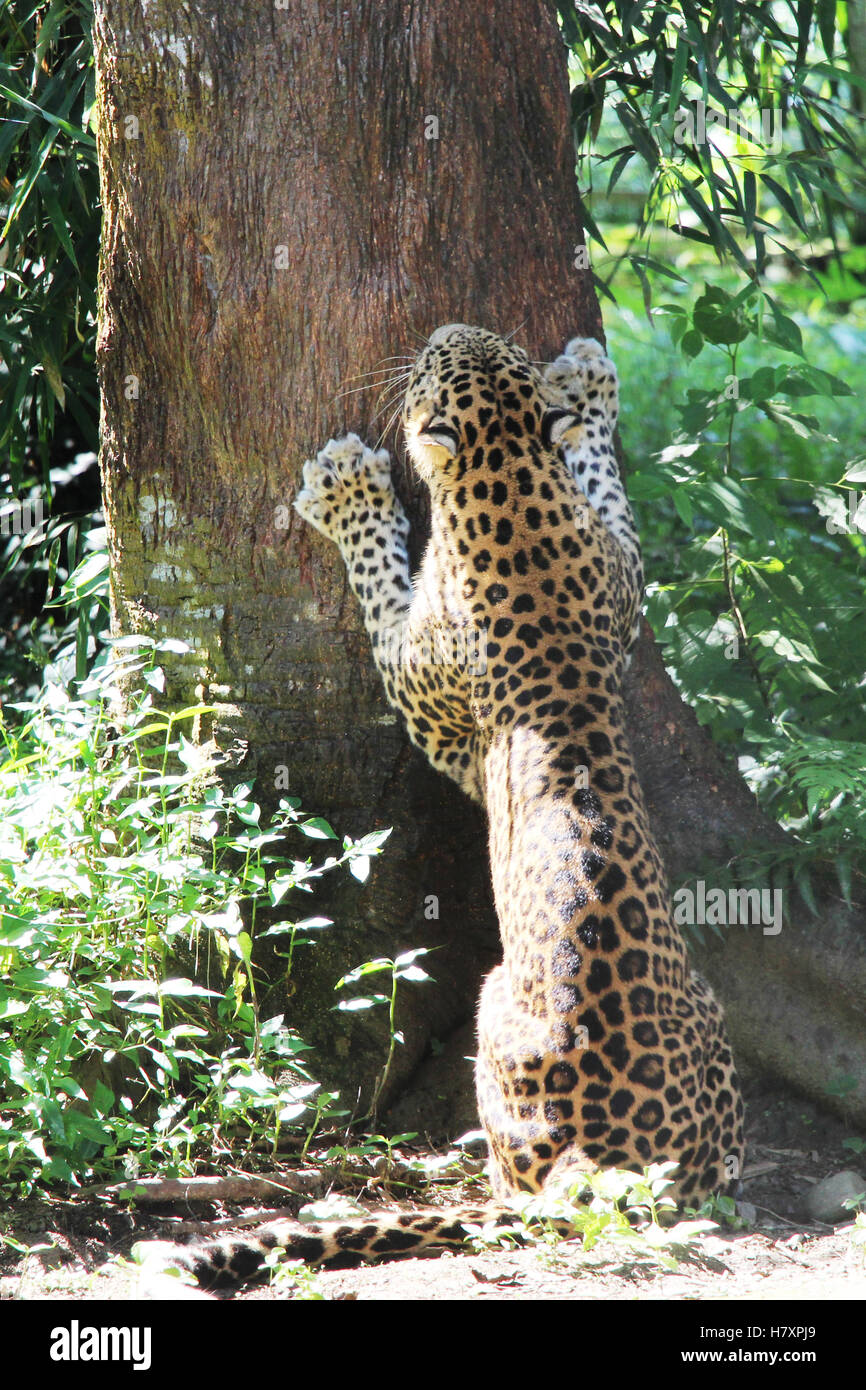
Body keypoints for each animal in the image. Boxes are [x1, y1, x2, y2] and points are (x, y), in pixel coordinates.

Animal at [137, 325, 743, 1290]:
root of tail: (606, 1173)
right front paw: (586, 388)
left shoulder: (418, 684)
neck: (512, 481)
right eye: (469, 351)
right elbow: (606, 478)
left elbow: (379, 572)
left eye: (433, 367)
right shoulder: (620, 571)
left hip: (496, 1015)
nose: (438, 332)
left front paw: (349, 486)